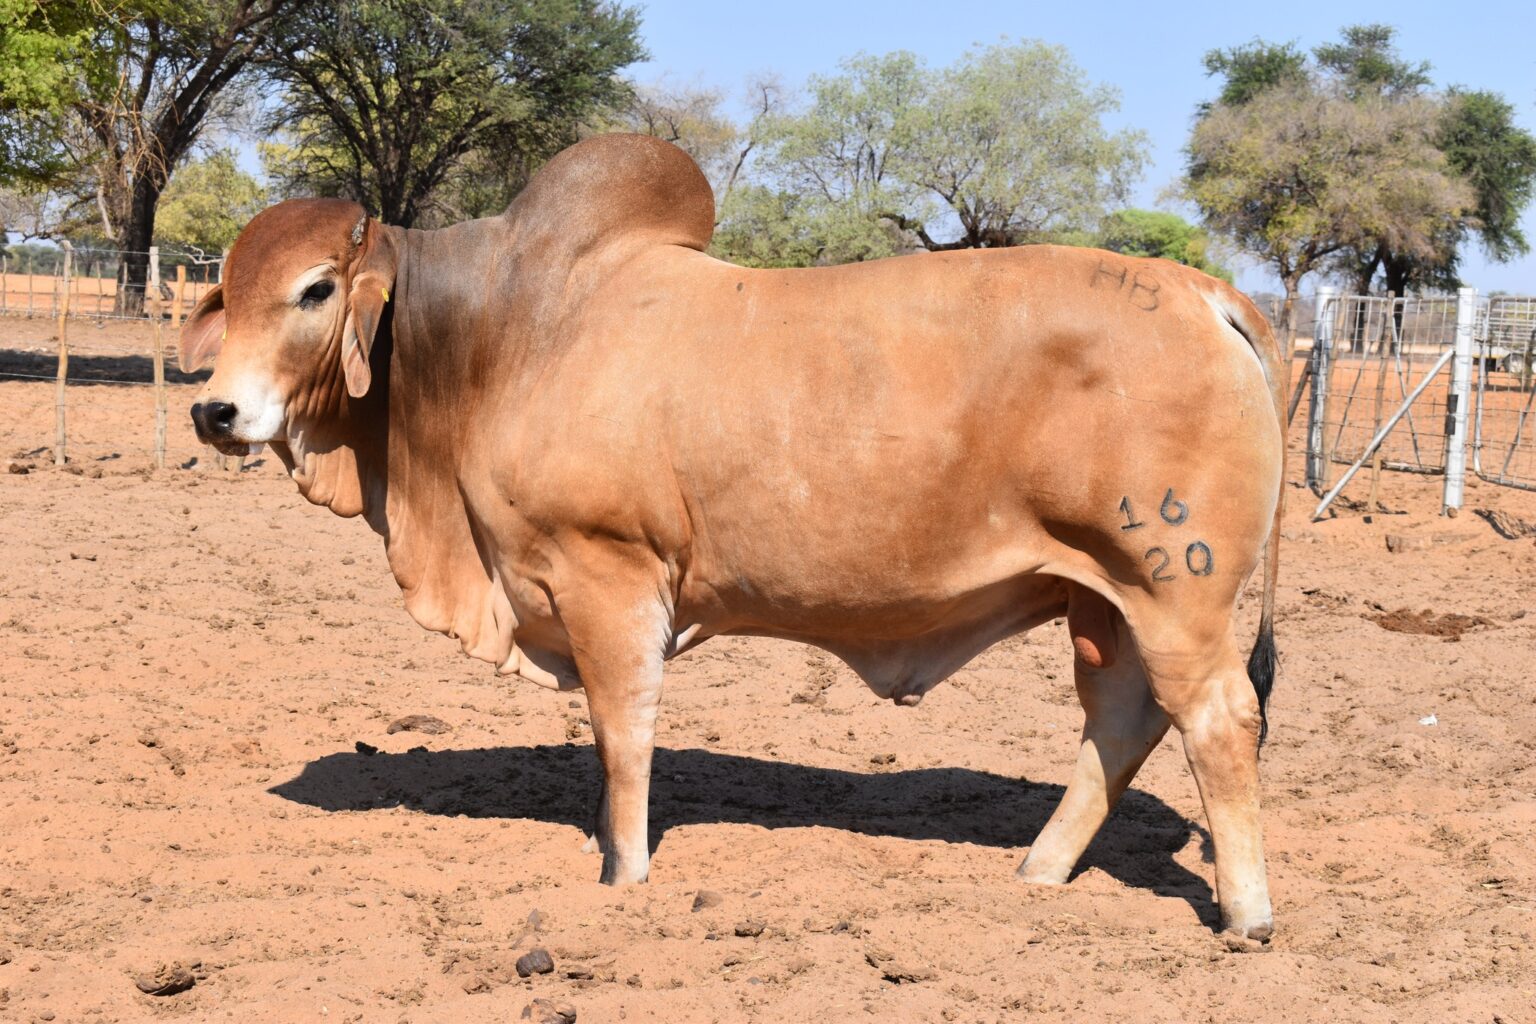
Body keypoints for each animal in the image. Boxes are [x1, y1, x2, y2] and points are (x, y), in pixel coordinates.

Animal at [183, 134, 1286, 940]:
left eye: (316, 289)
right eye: (227, 290)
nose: (215, 412)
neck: (505, 337)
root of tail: (1202, 292)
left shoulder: (608, 576)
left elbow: (624, 735)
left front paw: (623, 876)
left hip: (1173, 586)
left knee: (1220, 717)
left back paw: (1247, 914)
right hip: (1102, 600)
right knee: (1123, 722)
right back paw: (1040, 871)